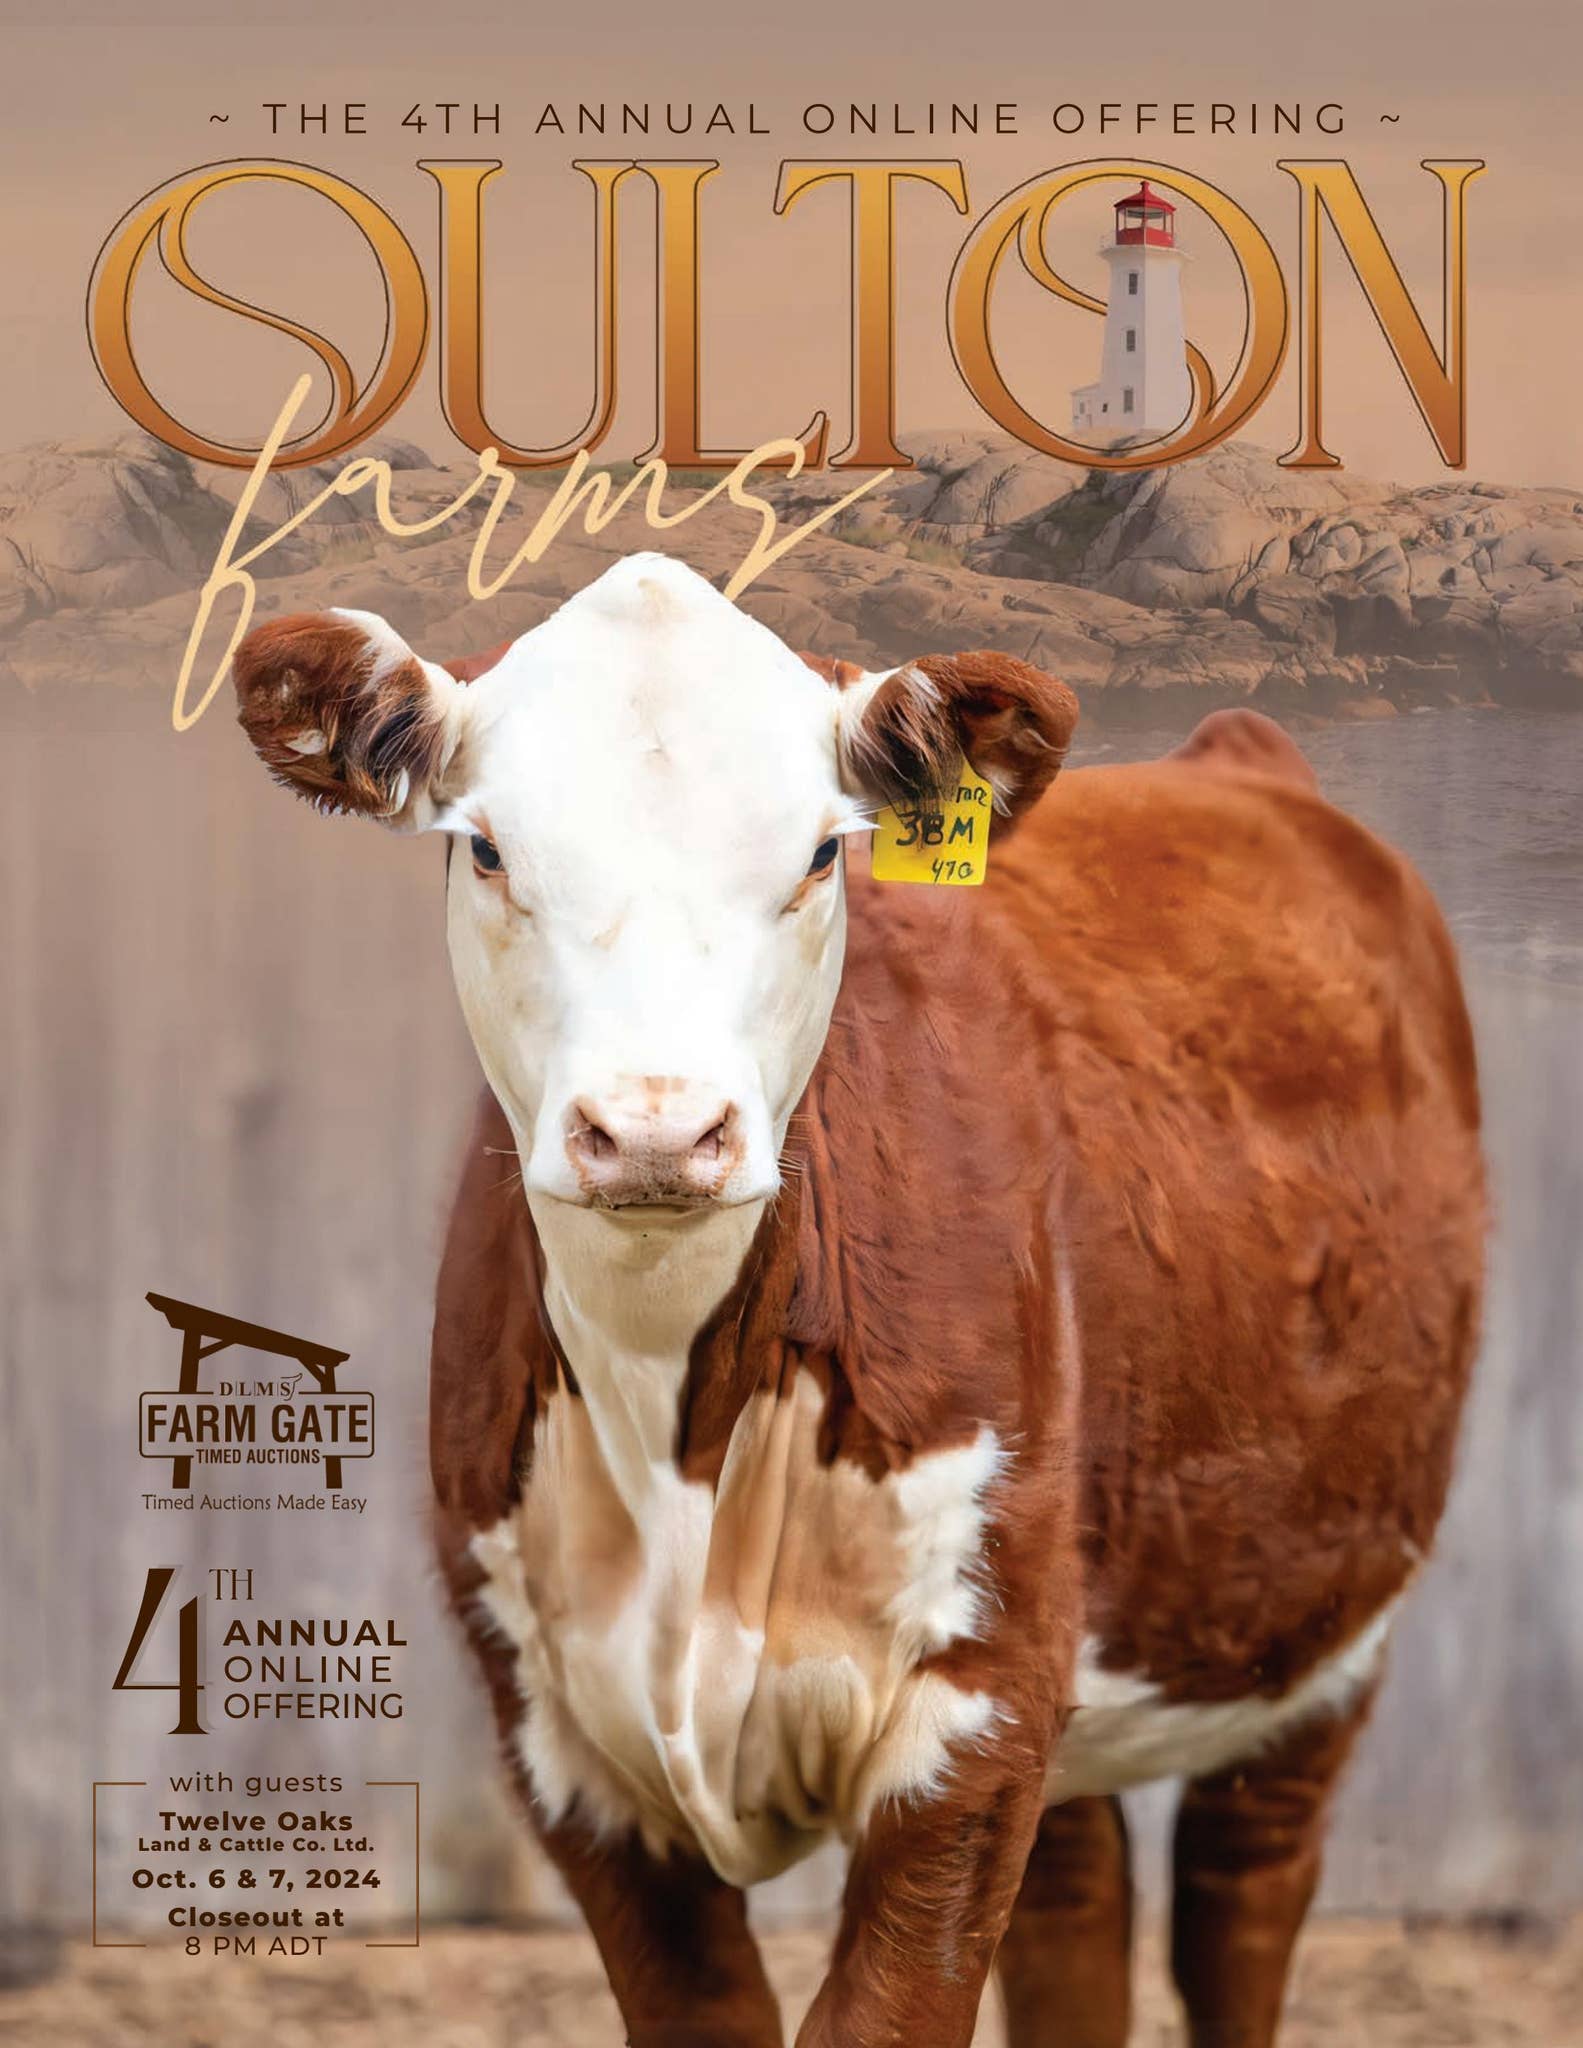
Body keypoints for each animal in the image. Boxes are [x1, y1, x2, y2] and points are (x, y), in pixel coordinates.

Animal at [233, 553, 1485, 2048]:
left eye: (822, 854)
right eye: (483, 847)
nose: (656, 1131)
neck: (680, 1428)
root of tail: (1231, 752)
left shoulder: (973, 1708)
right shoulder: (558, 1738)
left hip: (1313, 1620)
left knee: (1241, 1896)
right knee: (1077, 1907)